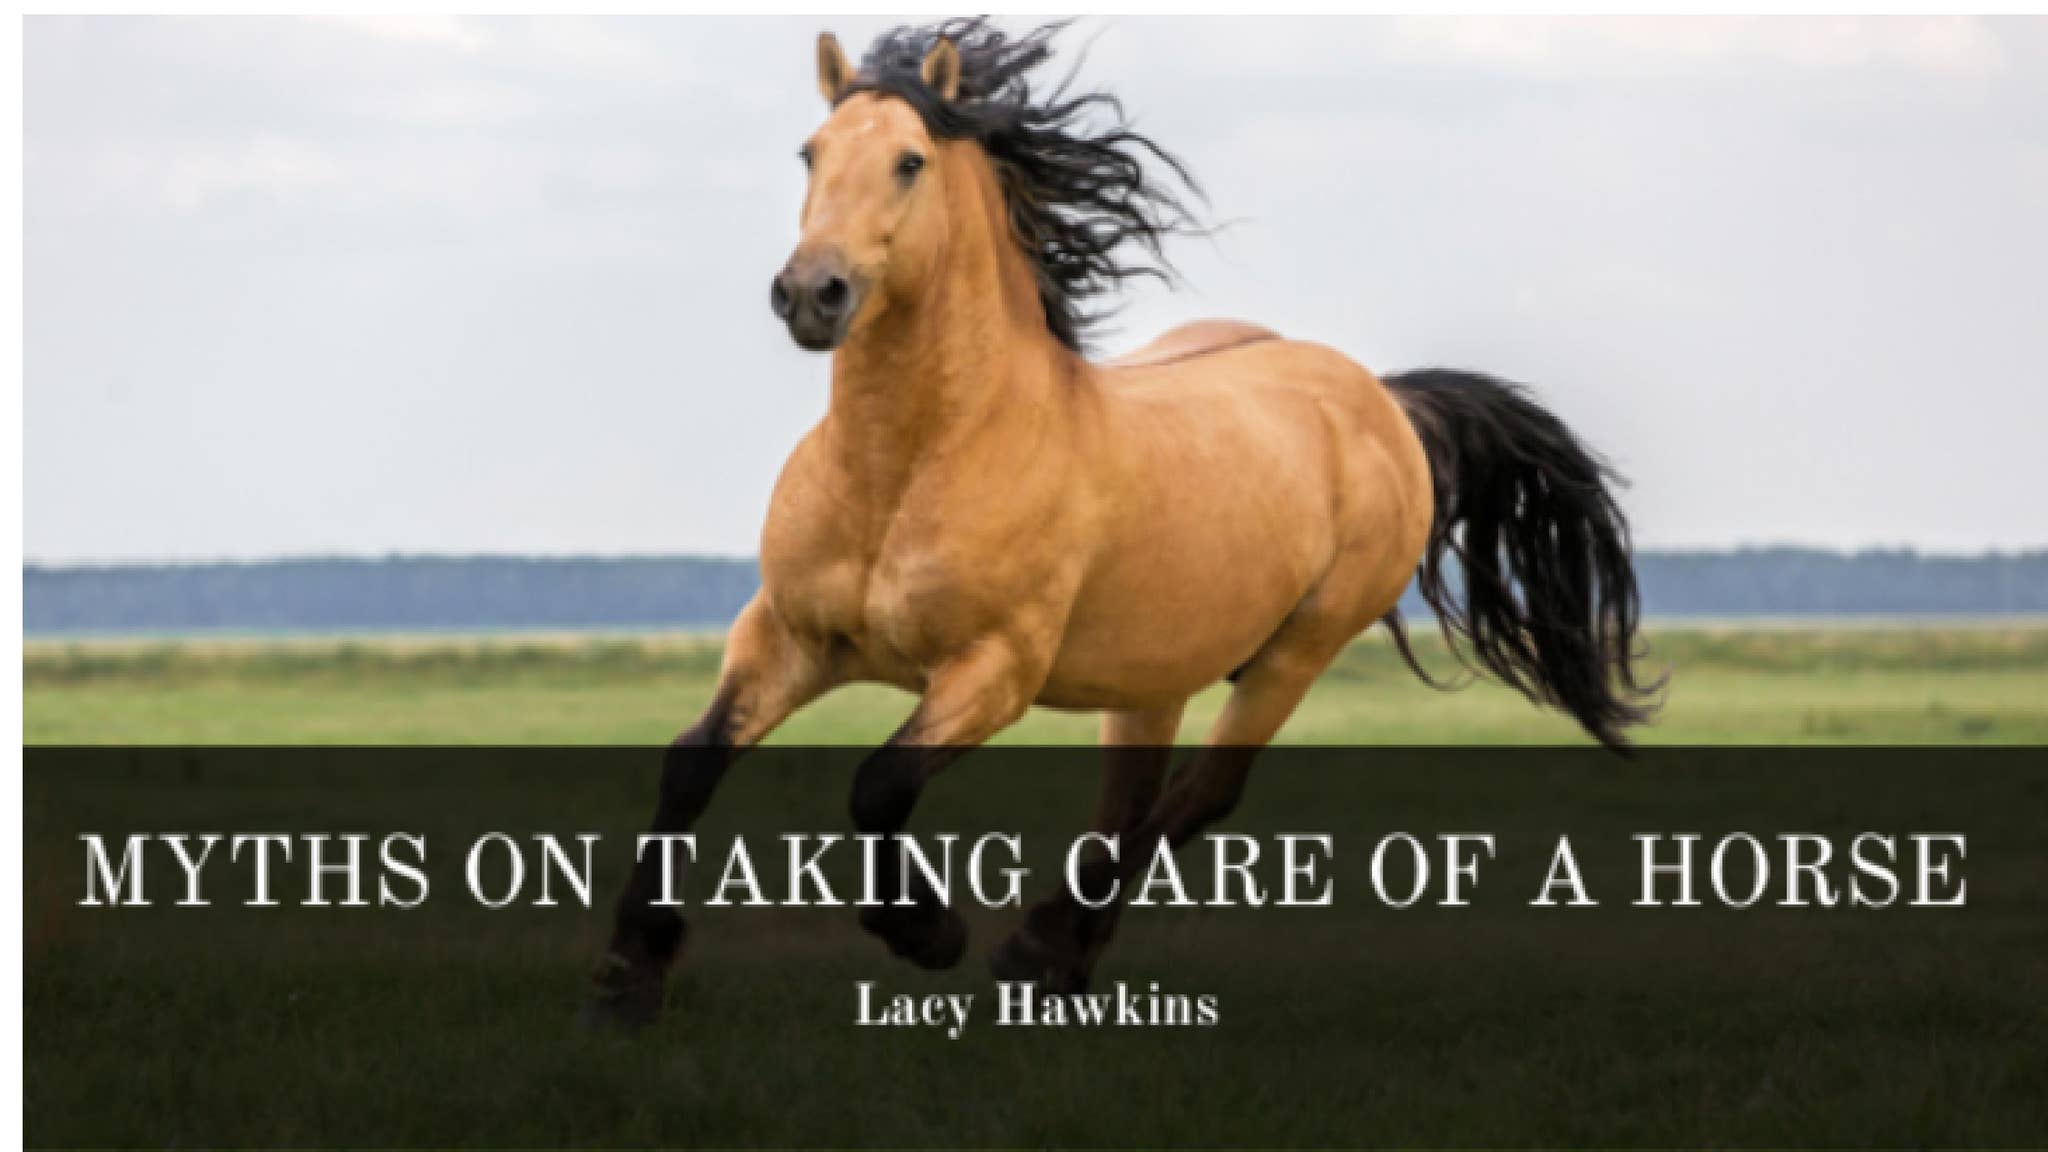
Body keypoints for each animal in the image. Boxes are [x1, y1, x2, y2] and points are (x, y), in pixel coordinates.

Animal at [590, 19, 1660, 1027]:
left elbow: (879, 784)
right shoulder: (788, 636)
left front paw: (928, 933)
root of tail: (1381, 398)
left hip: (1297, 650)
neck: (908, 467)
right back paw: (1061, 967)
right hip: (1155, 672)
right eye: (810, 153)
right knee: (1129, 801)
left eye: (909, 160)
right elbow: (692, 761)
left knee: (1197, 798)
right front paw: (631, 972)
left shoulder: (993, 669)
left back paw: (1037, 948)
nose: (813, 294)